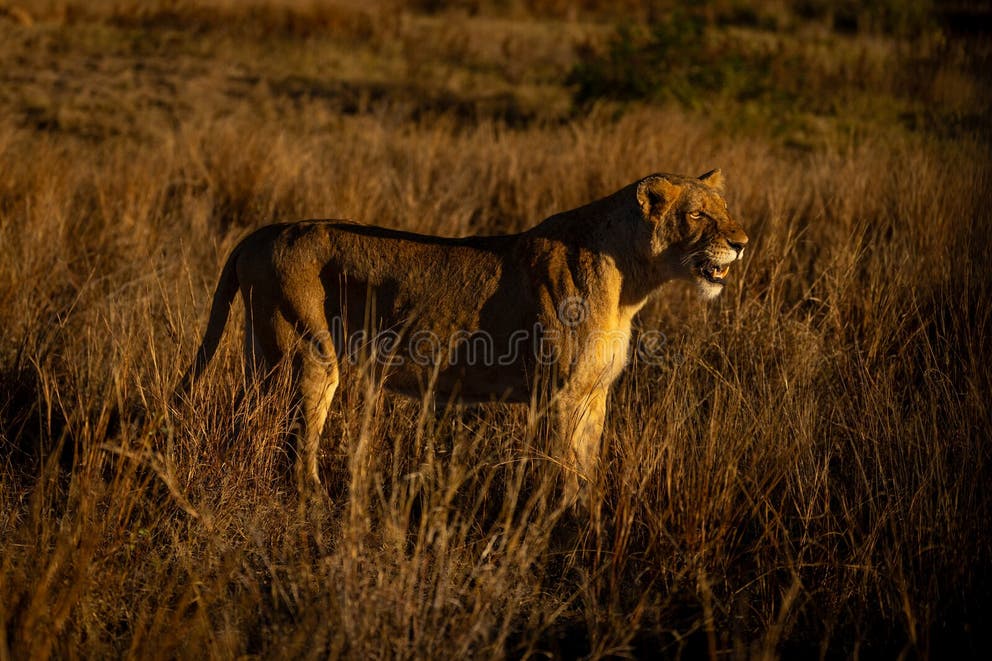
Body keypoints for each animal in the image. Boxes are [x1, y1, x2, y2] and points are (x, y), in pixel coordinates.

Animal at [176, 170, 748, 504]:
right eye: (697, 214)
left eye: (726, 211)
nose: (742, 243)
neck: (632, 282)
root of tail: (261, 232)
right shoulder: (558, 395)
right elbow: (564, 469)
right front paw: (566, 527)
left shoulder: (593, 393)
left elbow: (587, 465)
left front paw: (590, 516)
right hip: (308, 356)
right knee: (300, 441)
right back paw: (316, 500)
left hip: (264, 355)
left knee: (247, 415)